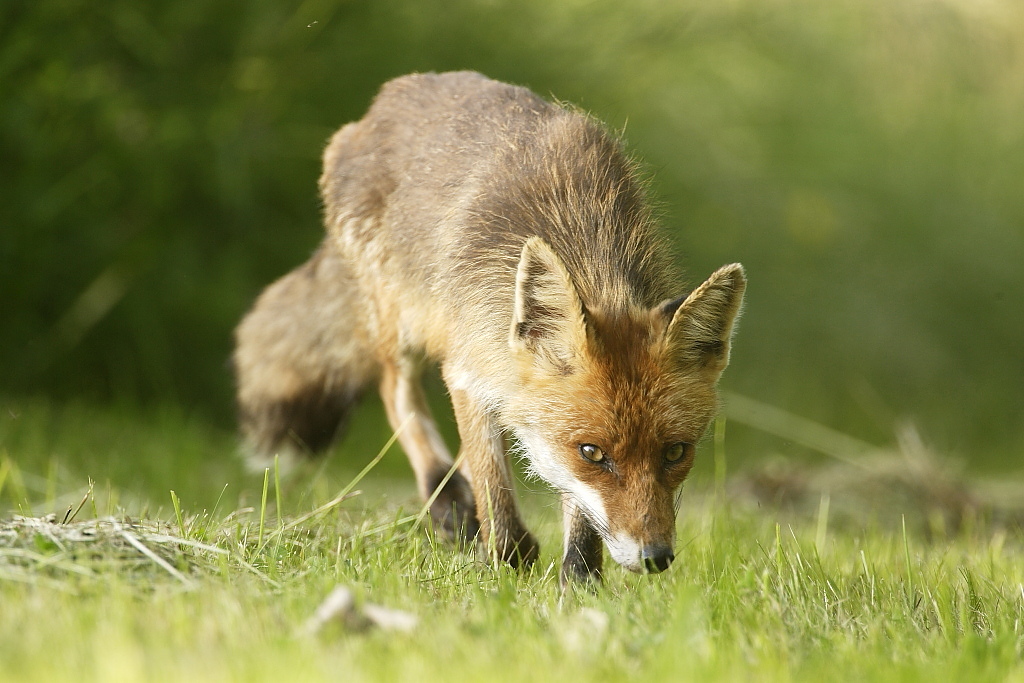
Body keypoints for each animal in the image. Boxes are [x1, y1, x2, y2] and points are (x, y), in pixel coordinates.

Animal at [232, 70, 745, 589]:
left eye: (675, 452)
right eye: (593, 452)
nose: (655, 557)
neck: (585, 245)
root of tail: (391, 96)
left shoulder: (524, 398)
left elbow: (574, 506)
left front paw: (579, 581)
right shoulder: (468, 368)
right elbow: (494, 484)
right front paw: (507, 561)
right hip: (402, 323)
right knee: (398, 396)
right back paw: (449, 505)